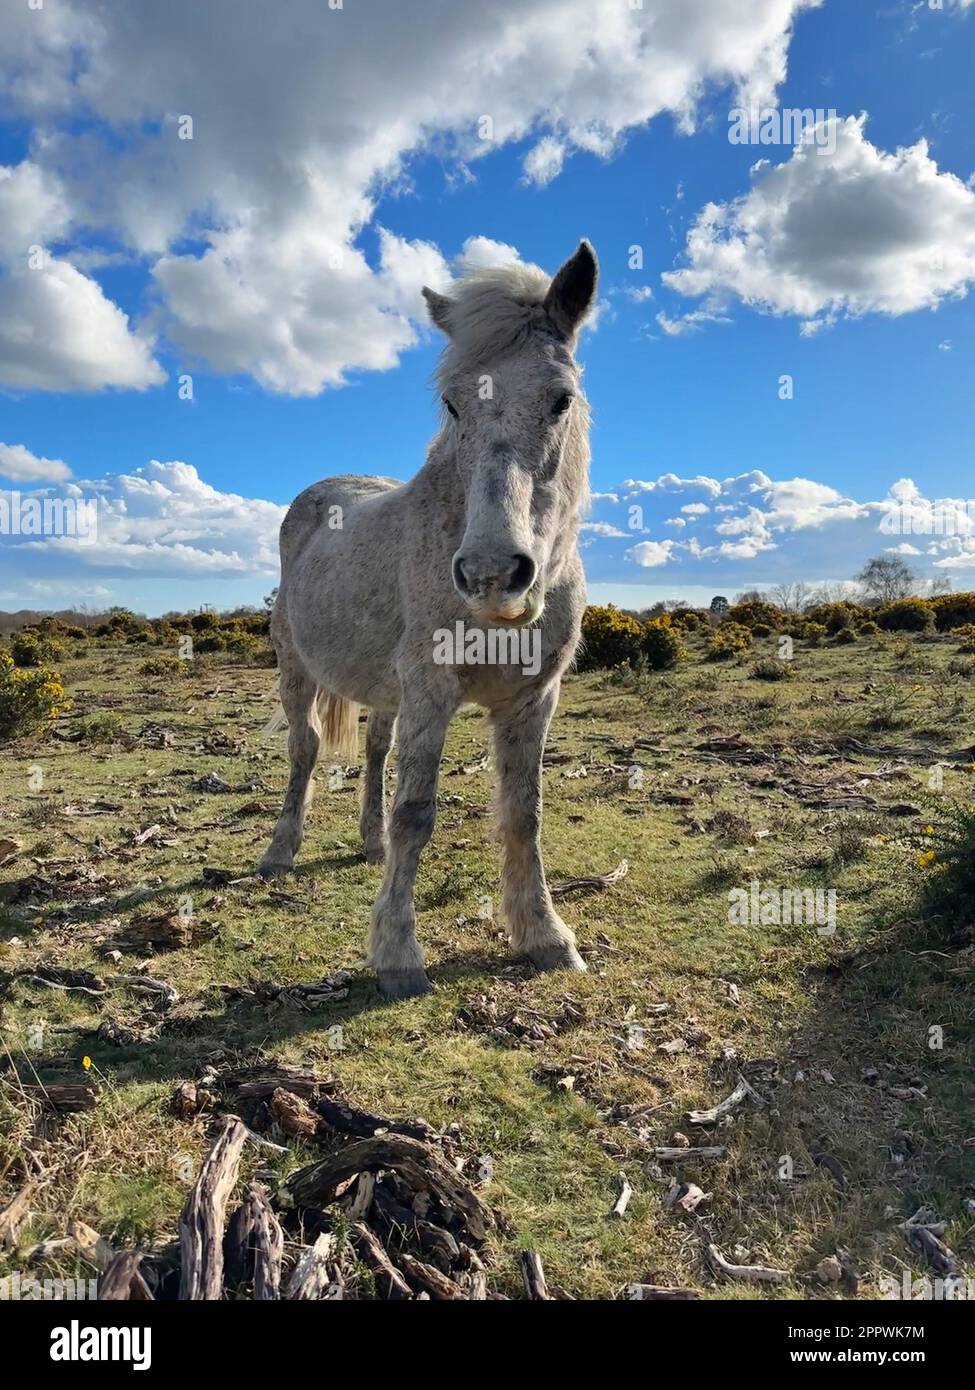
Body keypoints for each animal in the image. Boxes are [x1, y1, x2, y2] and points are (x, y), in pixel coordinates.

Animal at [260, 240, 598, 999]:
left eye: (560, 398)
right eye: (452, 403)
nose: (491, 573)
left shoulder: (533, 700)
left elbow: (523, 813)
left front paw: (545, 935)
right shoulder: (431, 690)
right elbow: (416, 816)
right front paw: (396, 954)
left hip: (388, 695)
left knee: (375, 751)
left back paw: (367, 841)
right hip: (297, 670)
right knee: (304, 751)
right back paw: (279, 850)